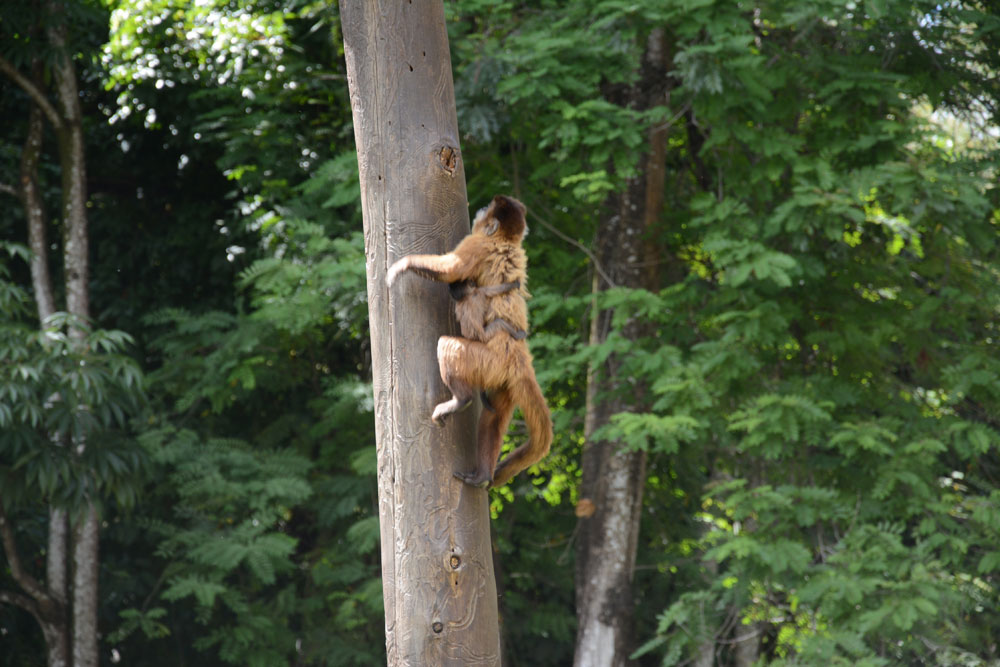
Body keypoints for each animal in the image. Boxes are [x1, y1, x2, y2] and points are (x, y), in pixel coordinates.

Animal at [387, 195, 553, 488]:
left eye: (487, 209)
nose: (482, 207)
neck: (506, 240)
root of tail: (518, 355)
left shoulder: (477, 244)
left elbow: (451, 269)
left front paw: (403, 265)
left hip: (485, 359)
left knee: (446, 344)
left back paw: (460, 400)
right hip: (501, 375)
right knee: (494, 415)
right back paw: (484, 474)